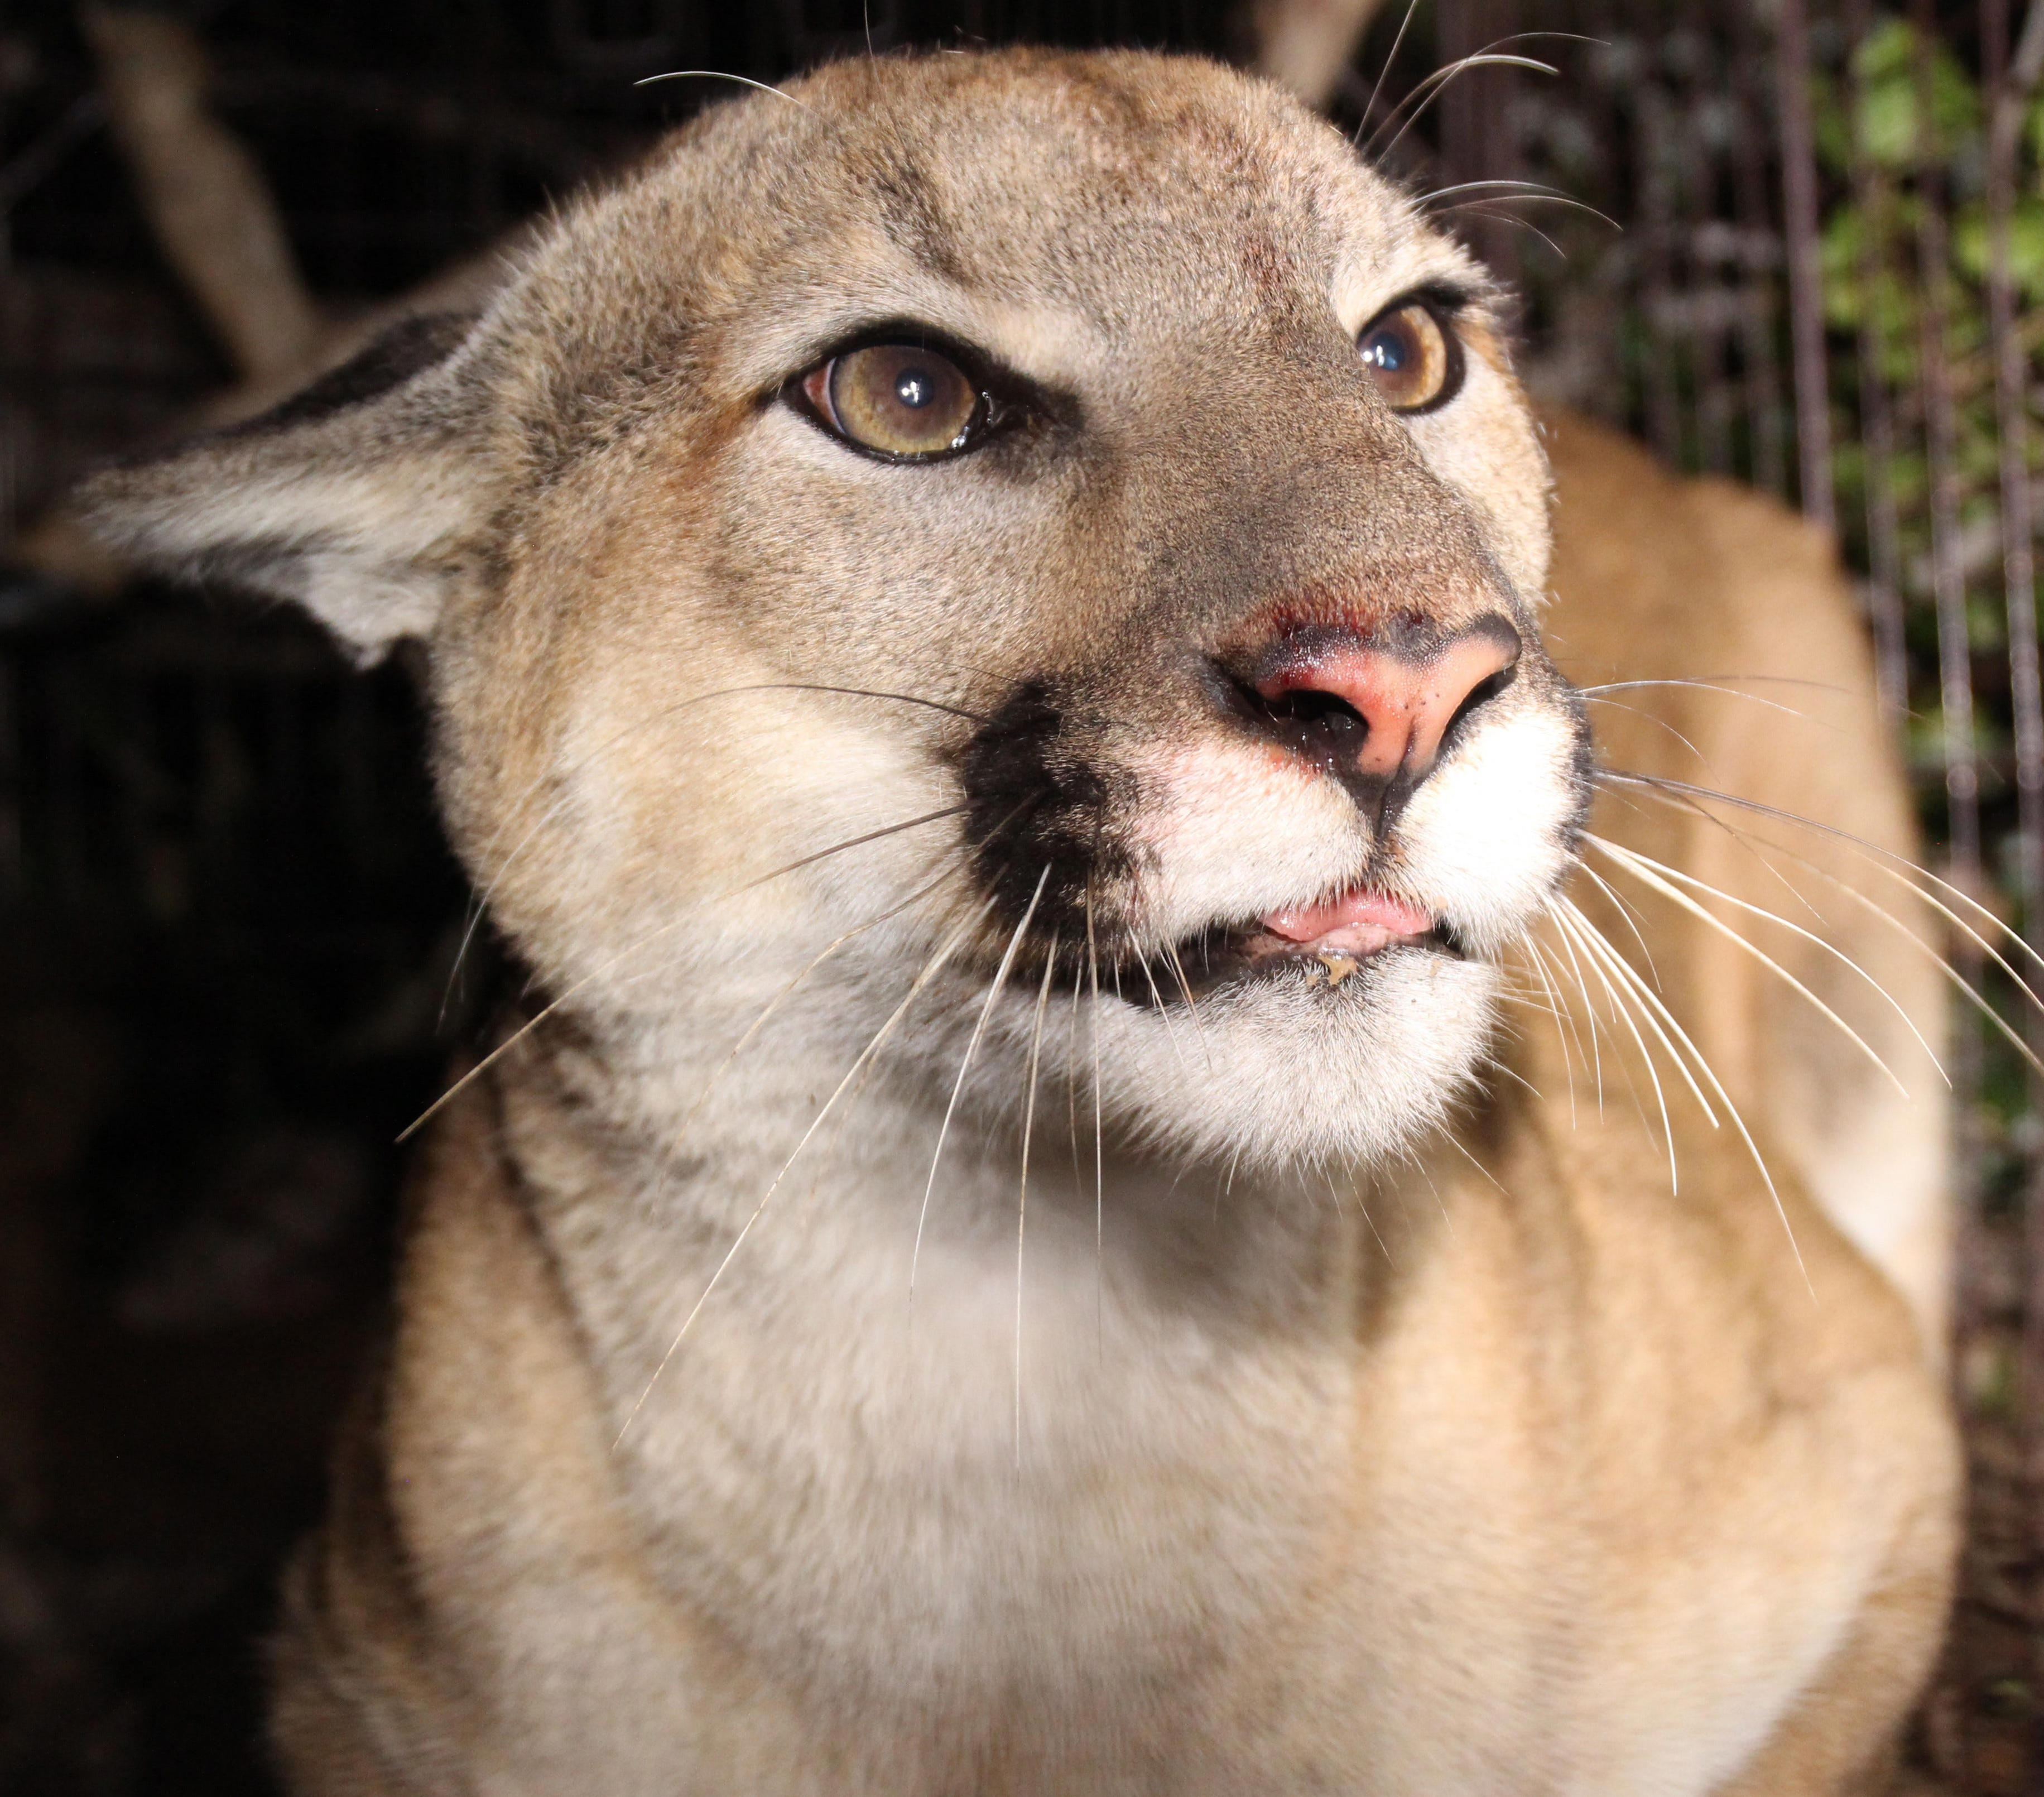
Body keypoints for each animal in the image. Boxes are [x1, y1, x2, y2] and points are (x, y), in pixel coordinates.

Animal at [83, 49, 1959, 1795]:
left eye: (1406, 352)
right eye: (907, 393)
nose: (1405, 687)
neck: (1026, 1361)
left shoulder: (1886, 1444)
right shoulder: (345, 1682)